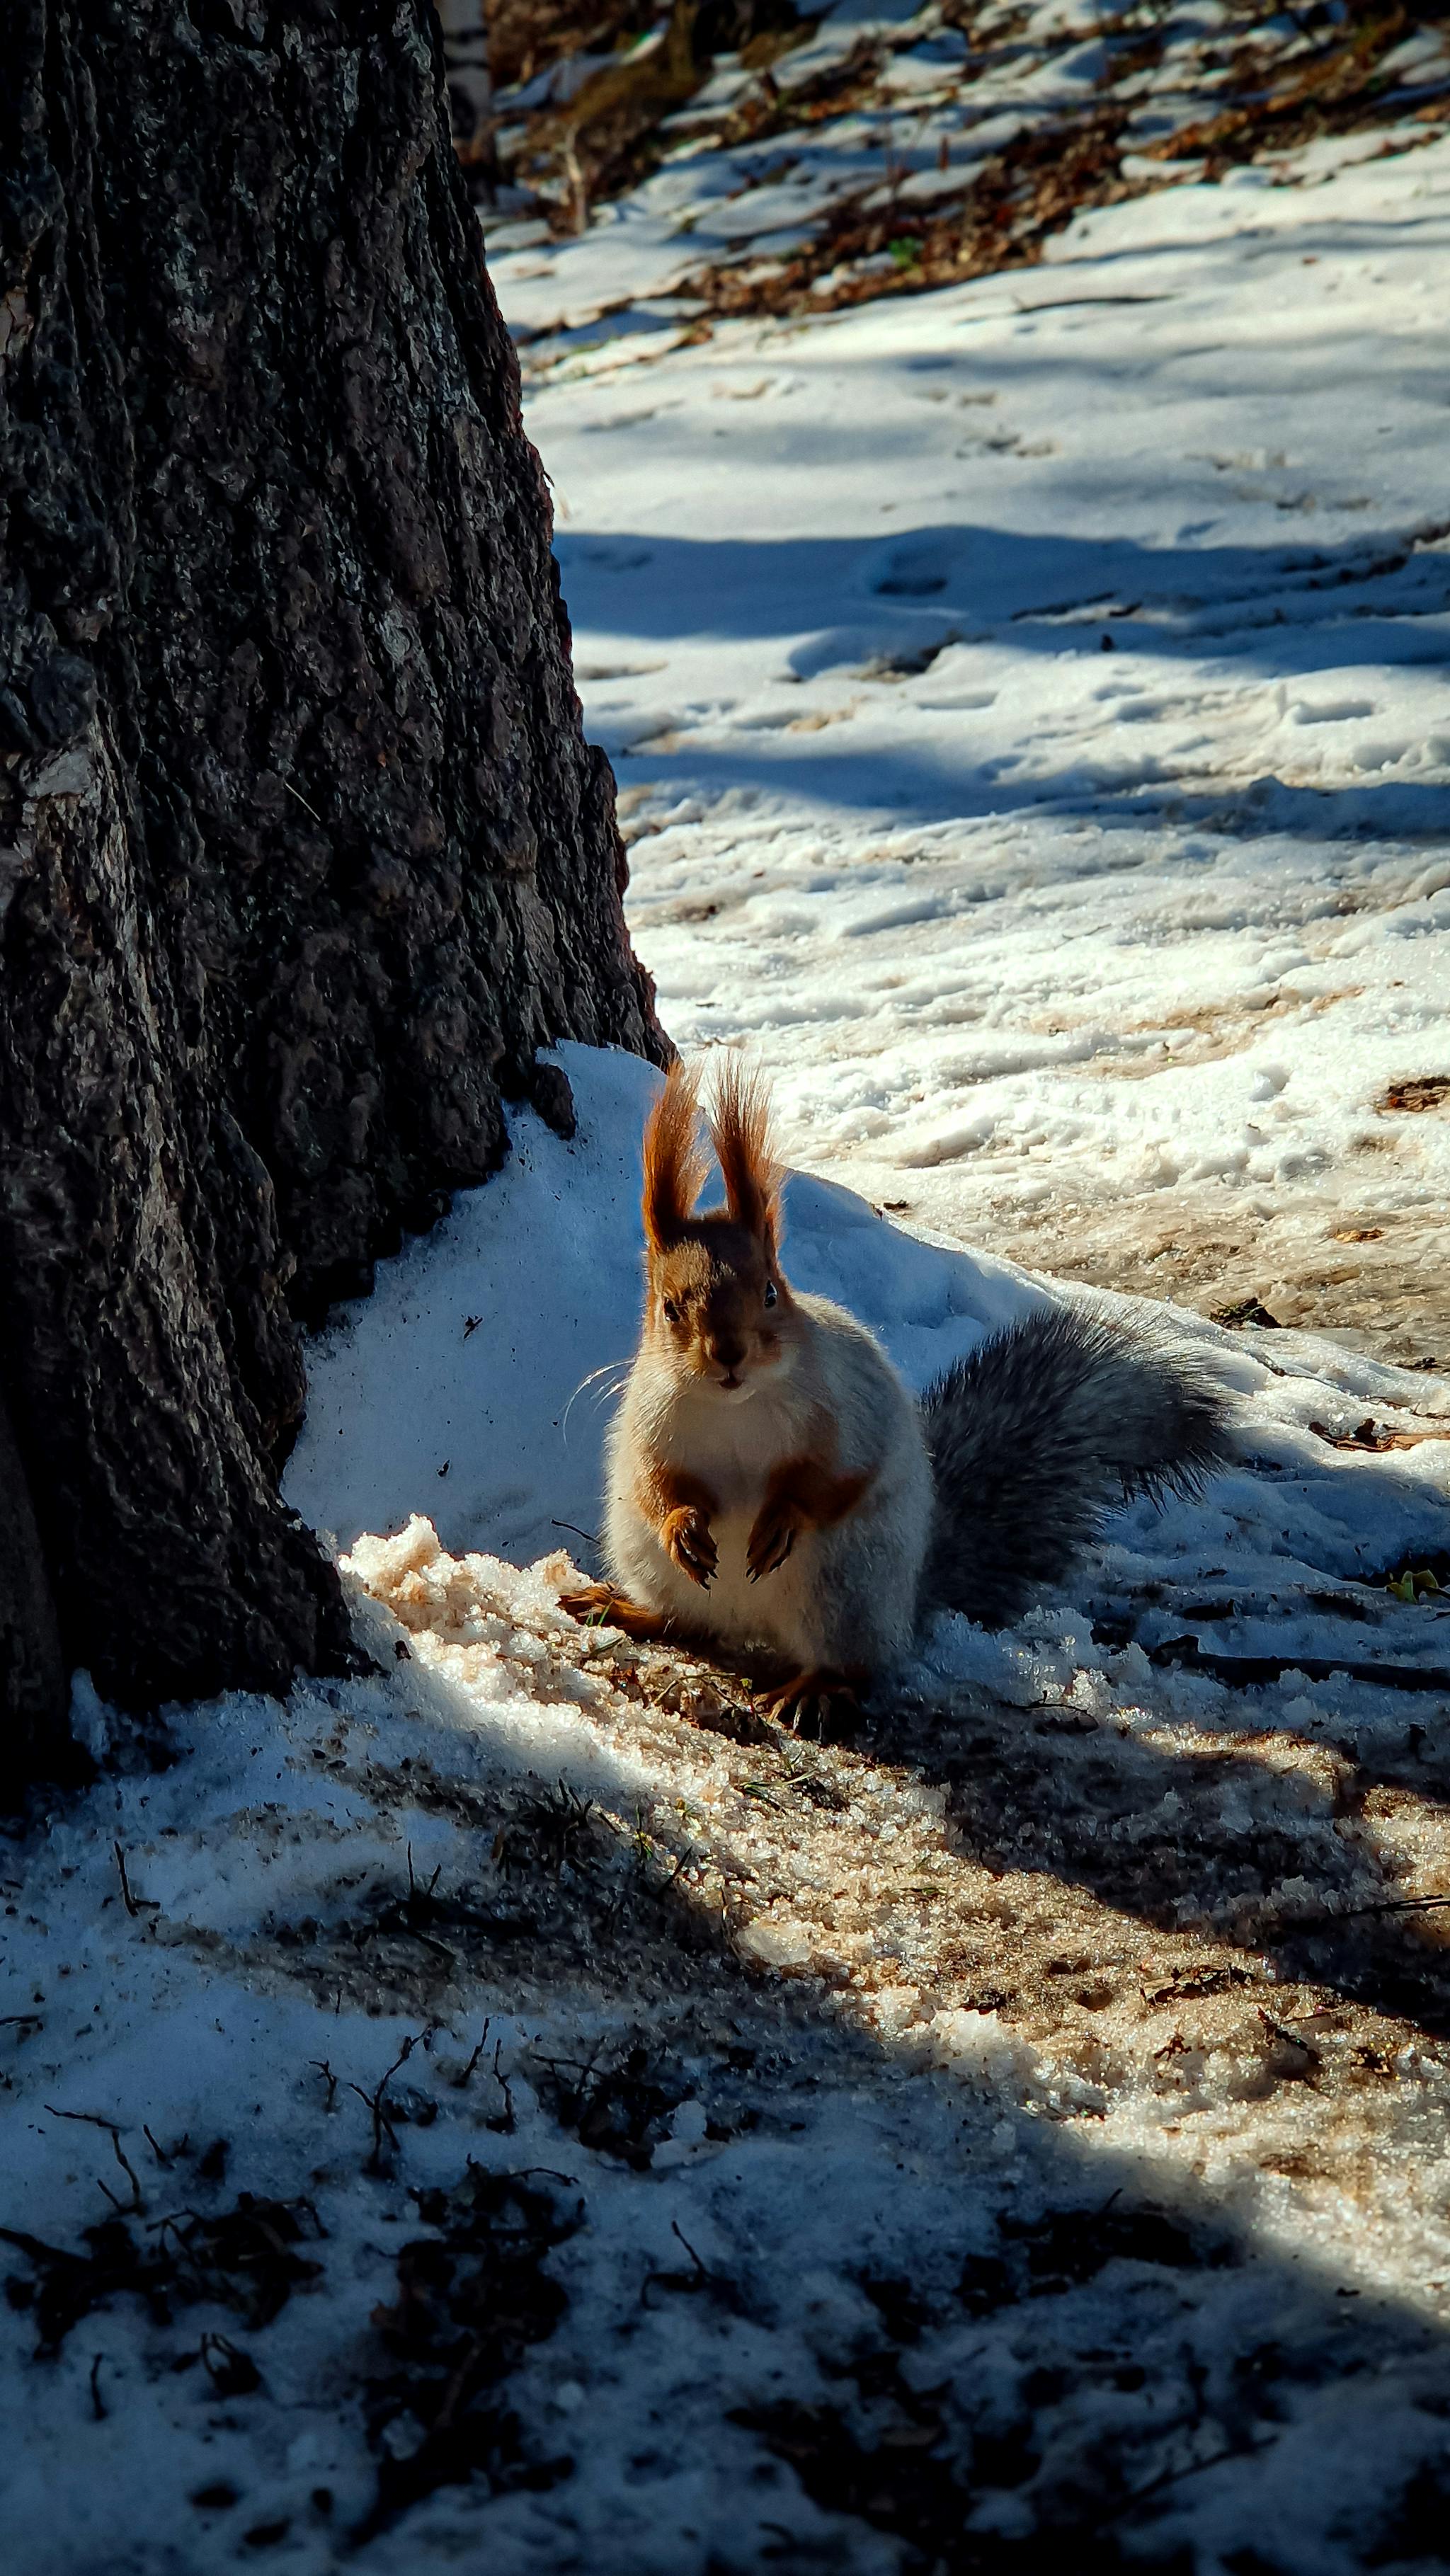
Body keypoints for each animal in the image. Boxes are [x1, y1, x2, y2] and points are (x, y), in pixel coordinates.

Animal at [562, 1063, 1233, 1728]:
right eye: (670, 1308)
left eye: (772, 1291)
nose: (728, 1353)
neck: (737, 1407)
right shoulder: (649, 1424)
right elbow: (655, 1486)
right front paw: (683, 1523)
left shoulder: (849, 1410)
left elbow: (839, 1477)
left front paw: (783, 1517)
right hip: (649, 1561)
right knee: (683, 1620)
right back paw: (621, 1607)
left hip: (842, 1589)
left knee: (854, 1663)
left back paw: (812, 1688)